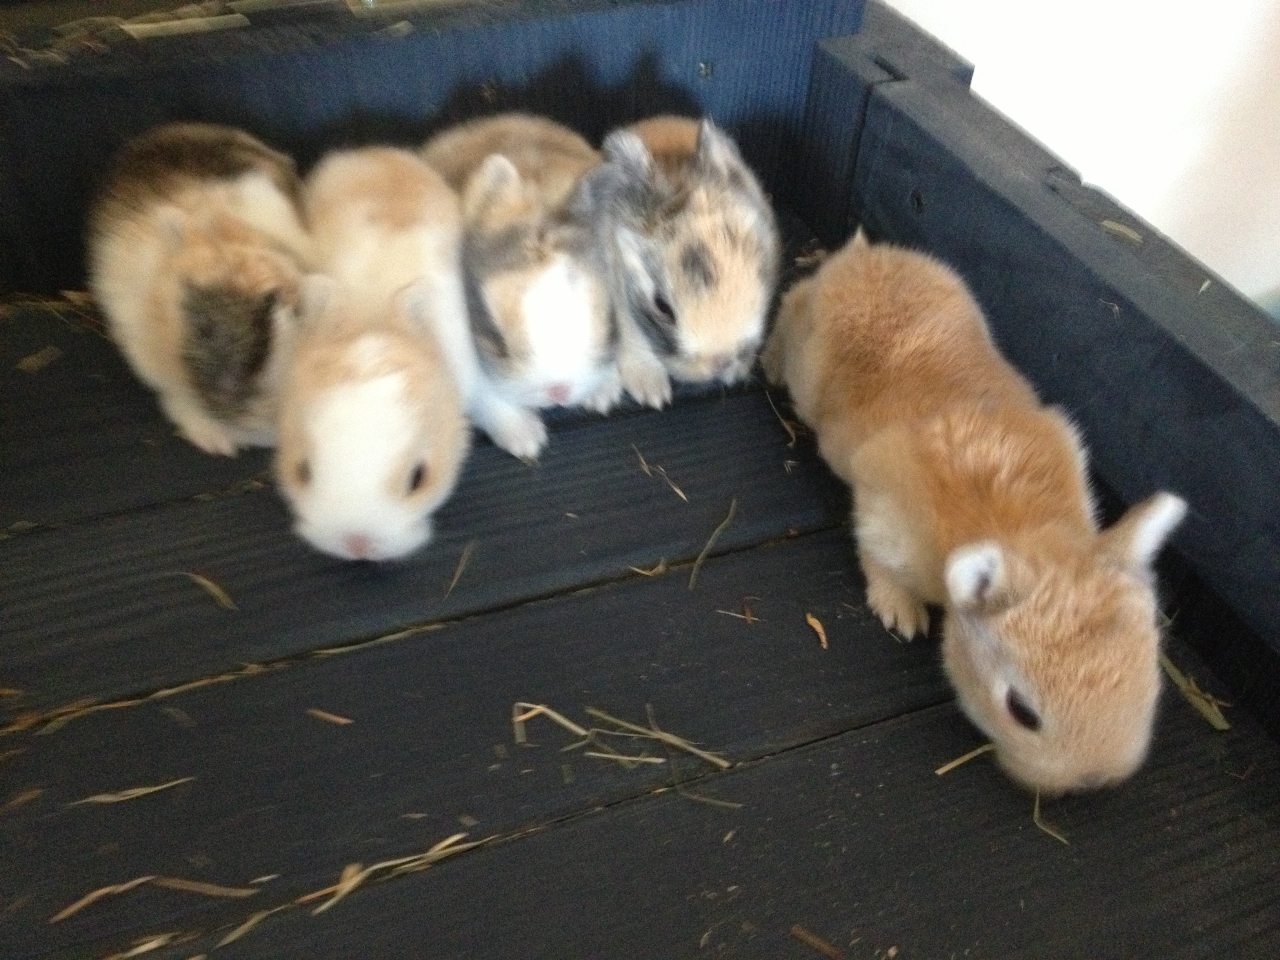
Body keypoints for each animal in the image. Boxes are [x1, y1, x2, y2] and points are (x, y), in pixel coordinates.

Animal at [762, 230, 1187, 794]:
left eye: (1150, 673)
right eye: (1021, 712)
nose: (1093, 777)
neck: (1020, 529)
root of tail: (865, 254)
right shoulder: (880, 509)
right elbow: (876, 561)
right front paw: (901, 615)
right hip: (805, 354)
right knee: (793, 302)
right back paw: (767, 363)